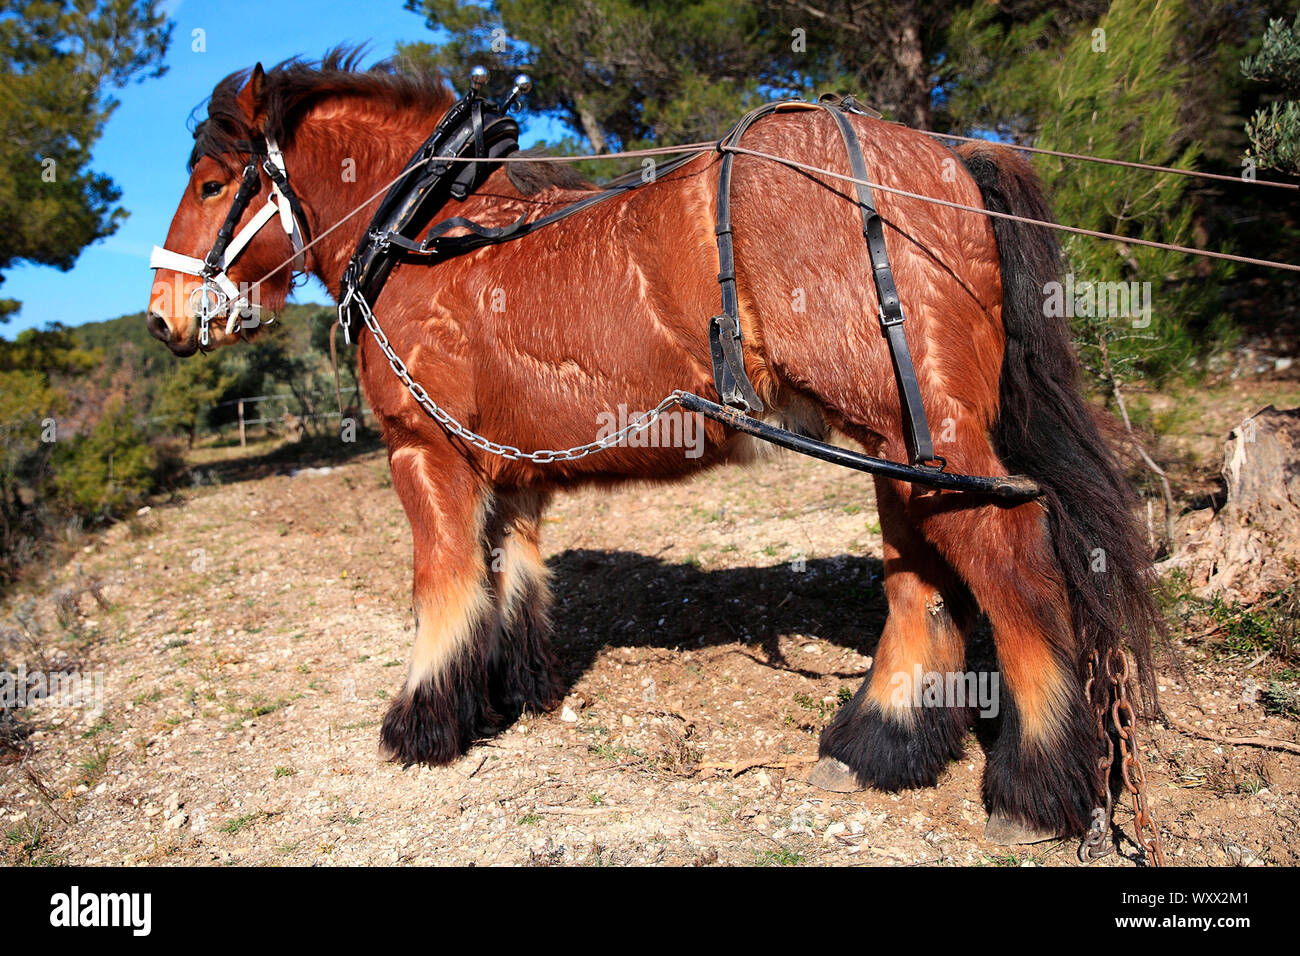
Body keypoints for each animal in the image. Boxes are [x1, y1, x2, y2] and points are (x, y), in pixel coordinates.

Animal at [147, 53, 1159, 844]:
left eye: (211, 184)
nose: (162, 318)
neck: (423, 225)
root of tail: (951, 153)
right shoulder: (506, 469)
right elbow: (510, 577)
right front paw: (515, 691)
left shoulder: (423, 453)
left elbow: (441, 587)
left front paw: (424, 721)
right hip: (899, 444)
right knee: (924, 575)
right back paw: (881, 742)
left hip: (923, 430)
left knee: (1011, 560)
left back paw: (1033, 788)